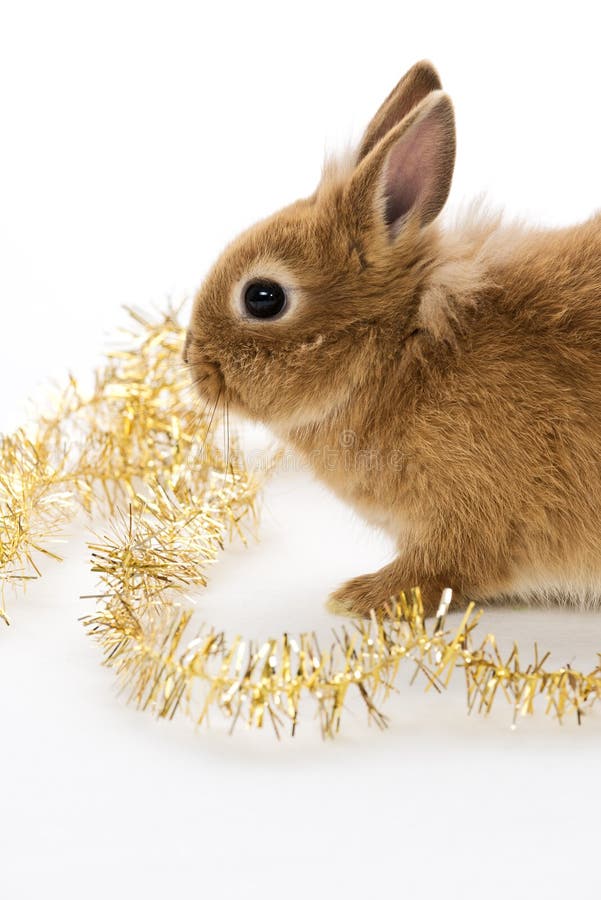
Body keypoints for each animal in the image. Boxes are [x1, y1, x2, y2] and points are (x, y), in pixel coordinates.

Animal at [184, 59, 601, 618]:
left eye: (263, 297)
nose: (192, 361)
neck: (401, 346)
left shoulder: (464, 521)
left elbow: (437, 571)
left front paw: (359, 597)